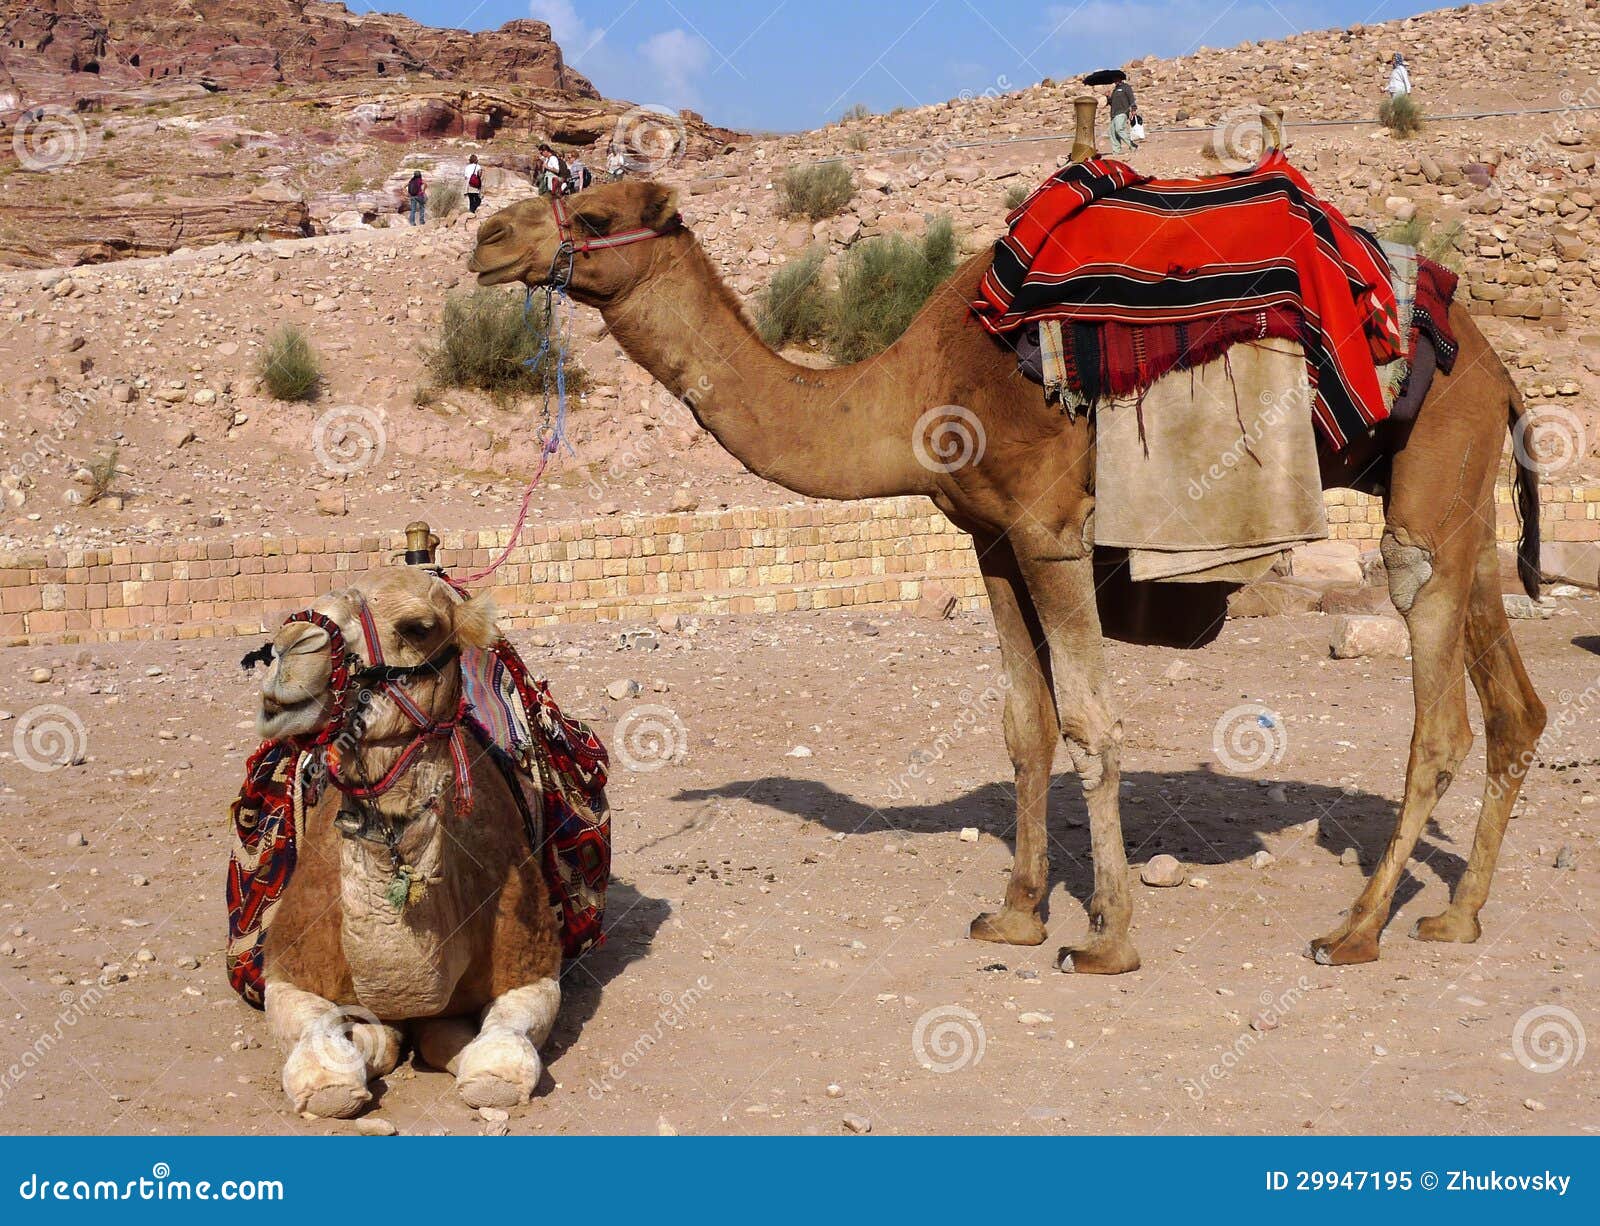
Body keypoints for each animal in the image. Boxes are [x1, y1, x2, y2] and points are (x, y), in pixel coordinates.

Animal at [253, 566, 562, 1117]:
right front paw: (348, 1066)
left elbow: (498, 1057)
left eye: (418, 627)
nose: (290, 650)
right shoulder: (287, 965)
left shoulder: (536, 963)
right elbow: (327, 1049)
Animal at [468, 166, 1546, 974]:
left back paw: (1354, 928)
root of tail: (1500, 372)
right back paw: (1457, 914)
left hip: (1430, 477)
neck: (913, 388)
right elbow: (1024, 725)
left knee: (1438, 717)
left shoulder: (1047, 524)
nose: (486, 236)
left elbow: (1089, 724)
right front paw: (1019, 914)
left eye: (593, 216)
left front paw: (1106, 938)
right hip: (1463, 502)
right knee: (1514, 706)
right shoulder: (985, 536)